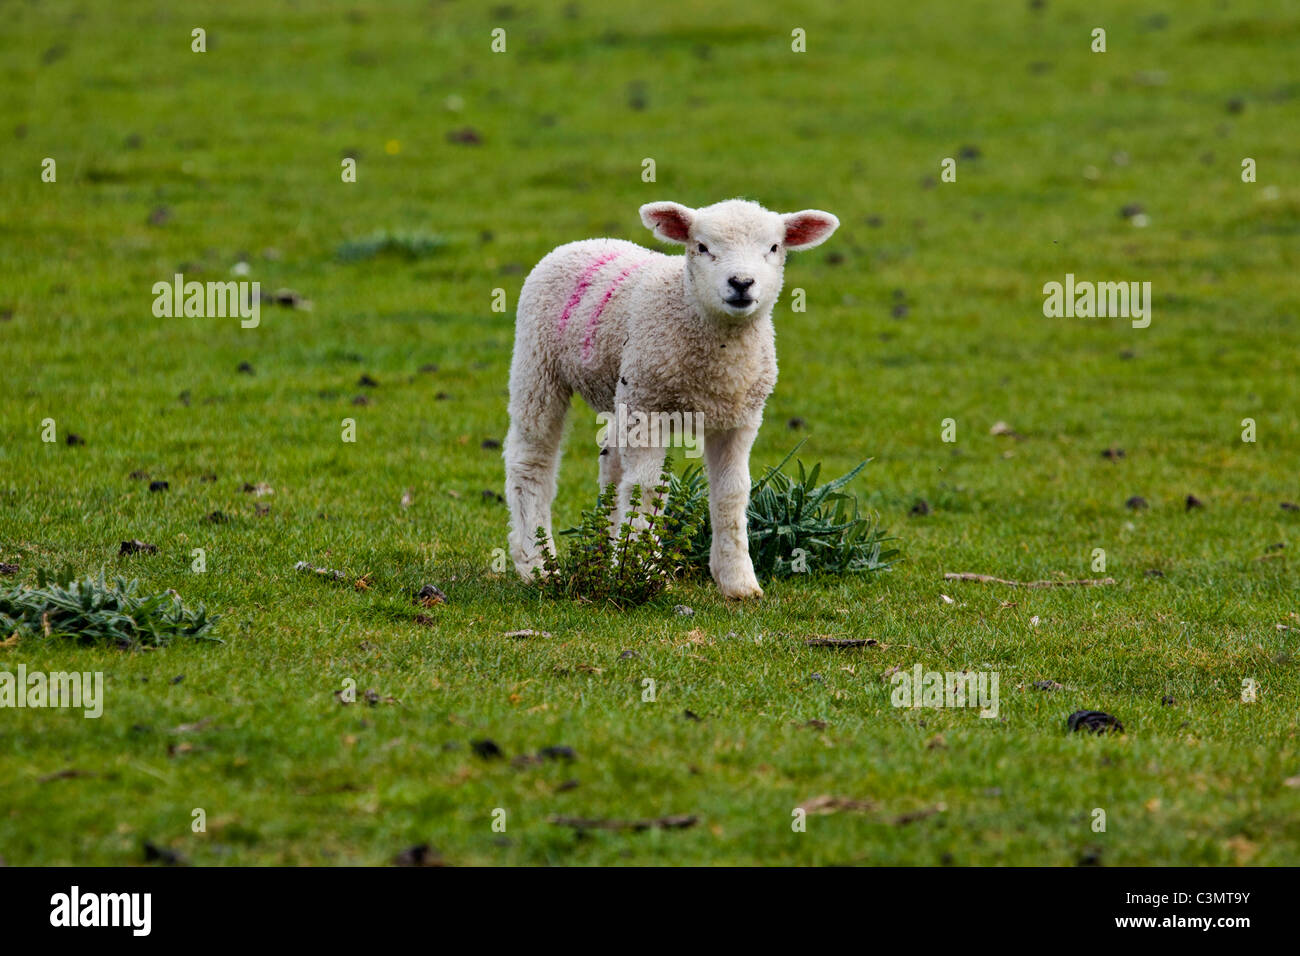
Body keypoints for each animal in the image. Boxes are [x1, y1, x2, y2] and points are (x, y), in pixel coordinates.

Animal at [504, 198, 840, 599]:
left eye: (774, 248)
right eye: (702, 247)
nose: (741, 283)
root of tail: (583, 243)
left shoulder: (740, 417)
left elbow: (732, 492)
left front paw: (738, 580)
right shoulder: (649, 408)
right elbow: (649, 489)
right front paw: (641, 570)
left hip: (622, 391)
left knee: (612, 467)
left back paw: (605, 553)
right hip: (539, 363)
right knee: (531, 462)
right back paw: (537, 564)